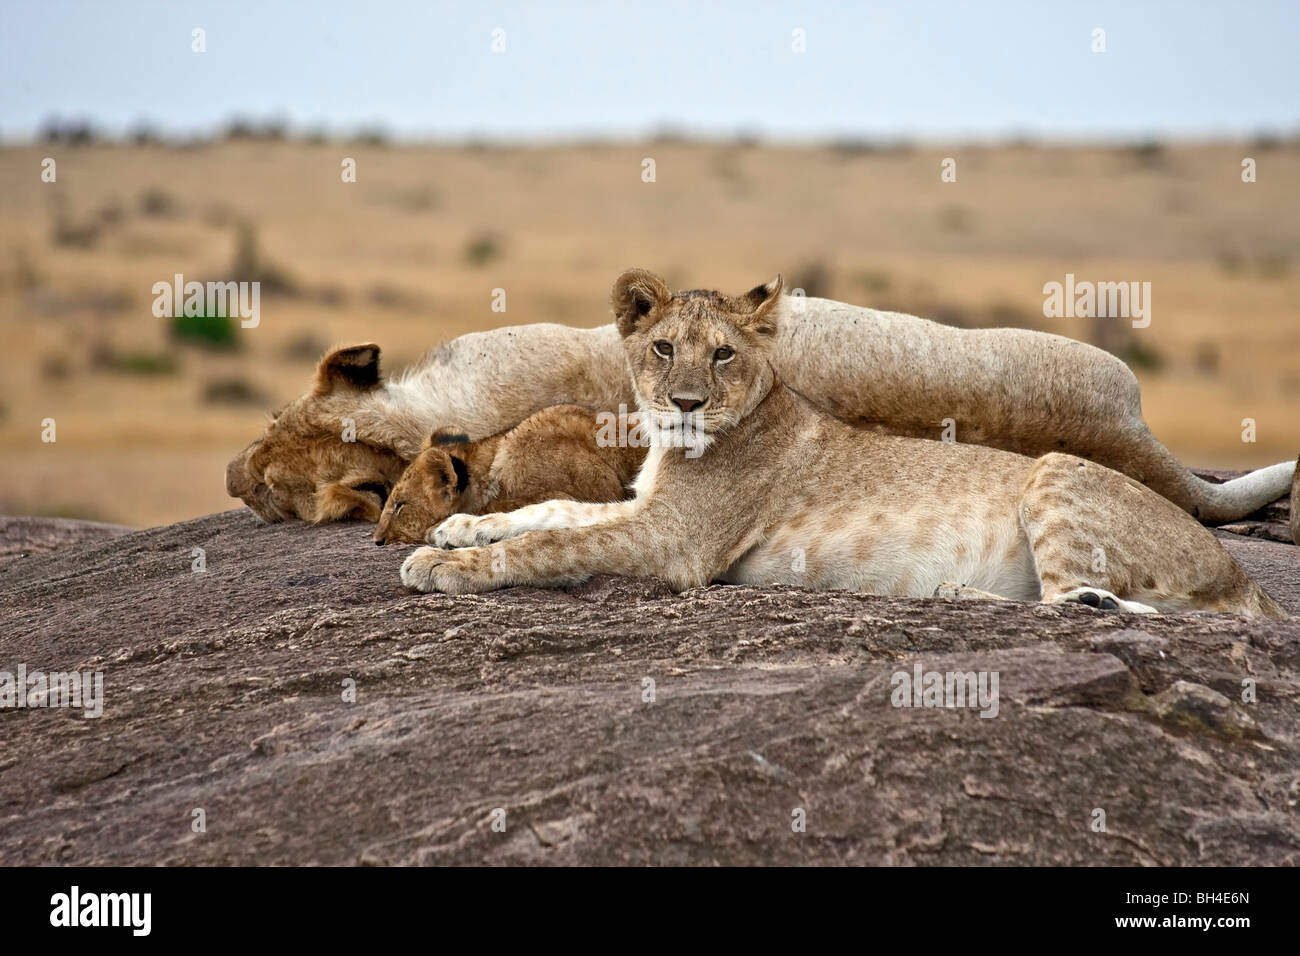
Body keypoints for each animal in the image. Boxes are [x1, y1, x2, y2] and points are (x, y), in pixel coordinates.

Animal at [401, 270, 1286, 619]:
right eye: (663, 348)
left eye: (722, 354)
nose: (685, 403)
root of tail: (1241, 572)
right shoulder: (645, 508)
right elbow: (553, 507)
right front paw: (458, 528)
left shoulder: (673, 546)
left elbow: (549, 543)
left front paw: (445, 568)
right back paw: (957, 594)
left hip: (1059, 470)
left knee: (1114, 608)